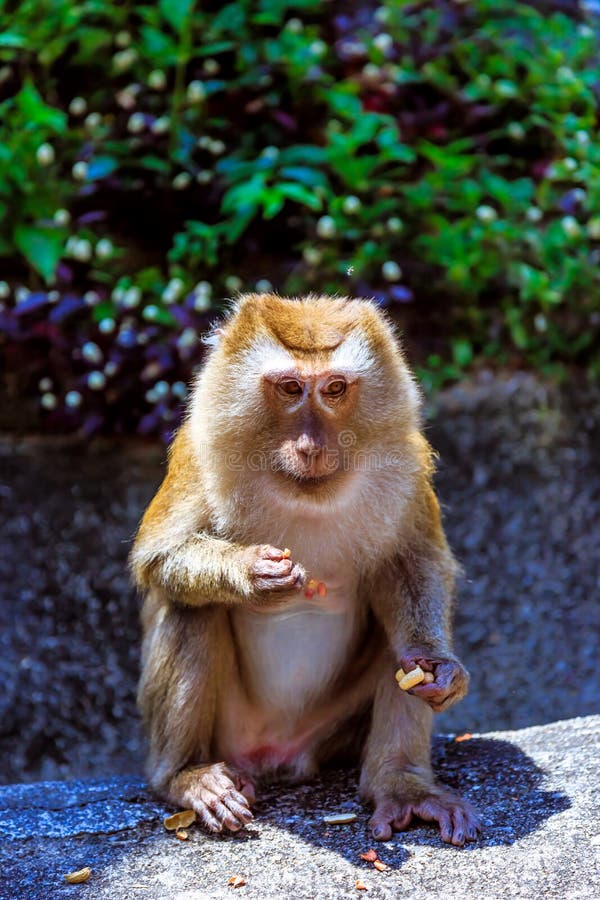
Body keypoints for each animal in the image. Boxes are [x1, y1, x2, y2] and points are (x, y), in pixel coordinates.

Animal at [130, 293, 481, 846]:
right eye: (291, 388)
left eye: (335, 389)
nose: (311, 446)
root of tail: (274, 754)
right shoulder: (198, 450)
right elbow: (158, 558)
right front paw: (252, 575)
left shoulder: (407, 462)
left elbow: (412, 563)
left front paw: (440, 666)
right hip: (230, 734)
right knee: (191, 611)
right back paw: (185, 777)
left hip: (330, 735)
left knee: (398, 645)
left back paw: (400, 784)